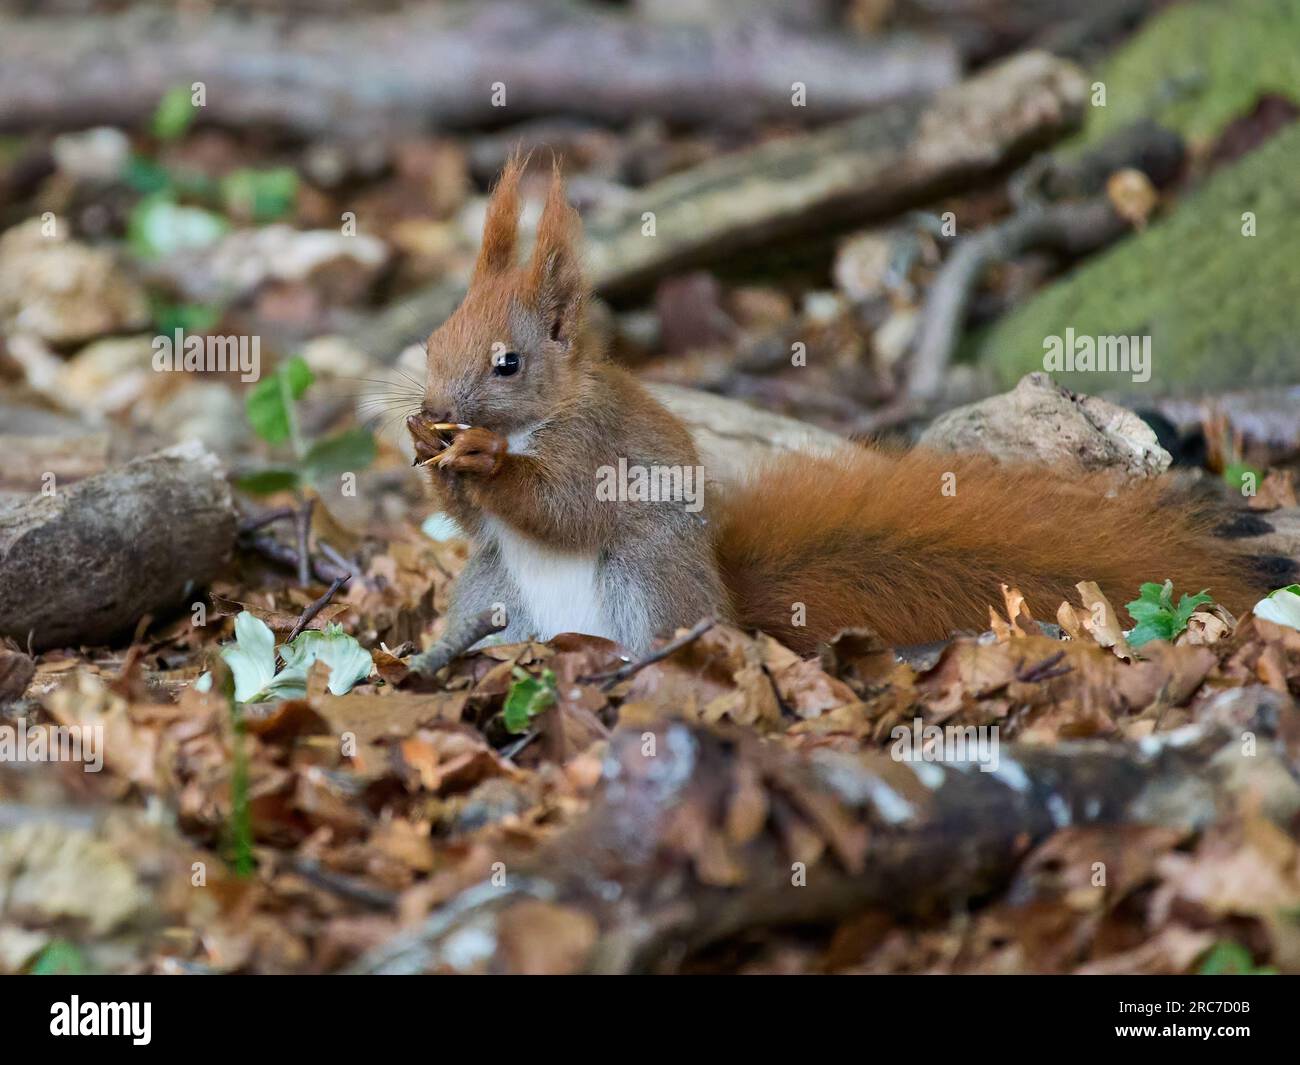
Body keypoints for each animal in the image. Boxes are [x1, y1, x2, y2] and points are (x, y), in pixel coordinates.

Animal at [408, 157, 1270, 655]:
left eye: (508, 364)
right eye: (435, 338)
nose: (435, 404)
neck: (542, 416)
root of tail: (727, 599)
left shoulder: (599, 447)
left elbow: (566, 505)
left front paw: (483, 462)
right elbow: (476, 520)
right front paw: (434, 458)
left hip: (644, 576)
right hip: (492, 588)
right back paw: (438, 657)